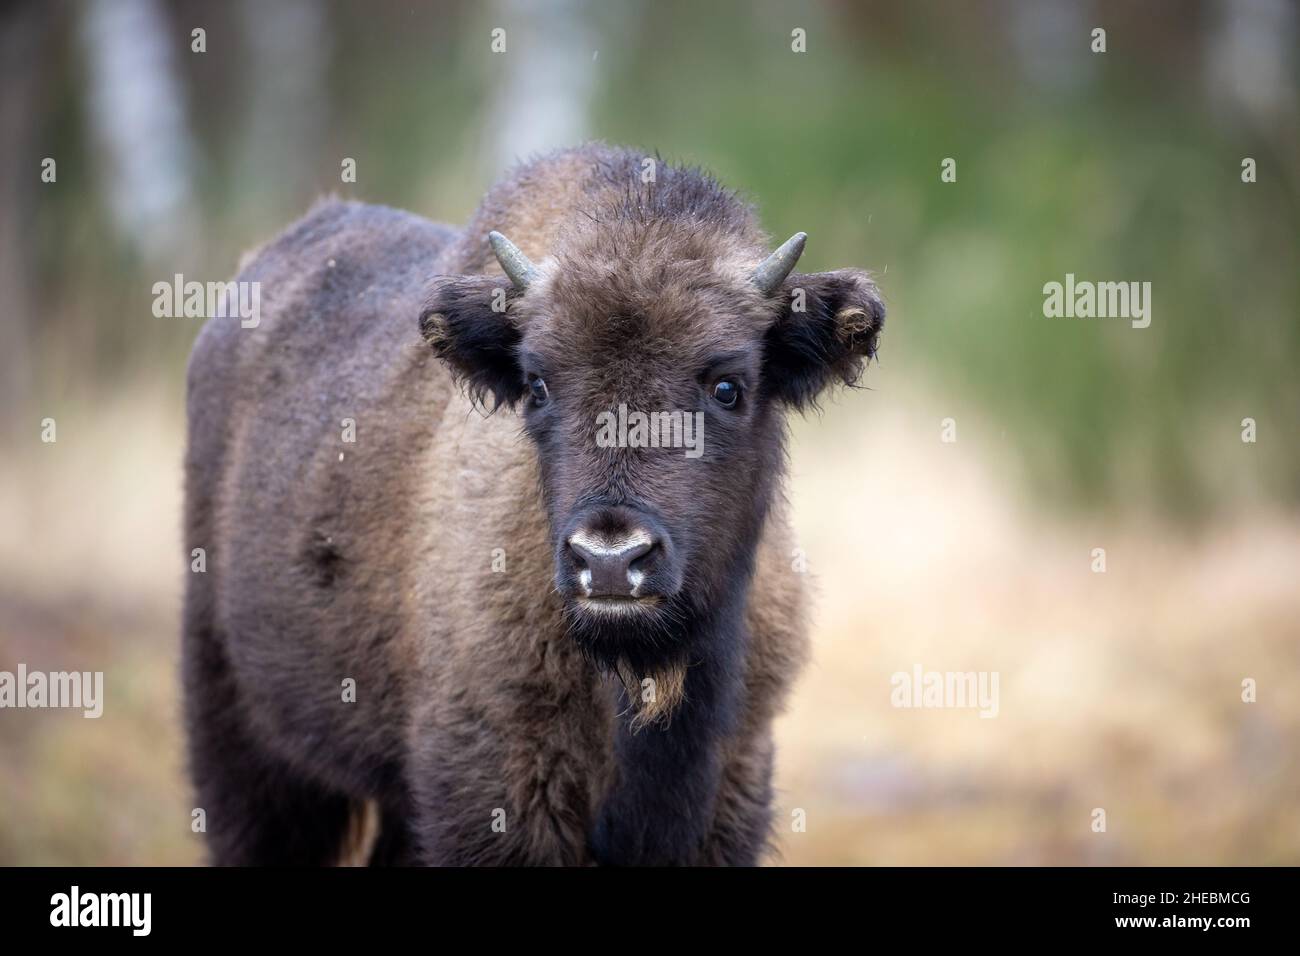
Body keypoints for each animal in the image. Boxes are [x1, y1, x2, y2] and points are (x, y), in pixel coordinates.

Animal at [182, 142, 884, 866]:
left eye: (727, 386)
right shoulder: (497, 788)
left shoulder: (731, 786)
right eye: (538, 384)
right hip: (243, 730)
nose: (610, 559)